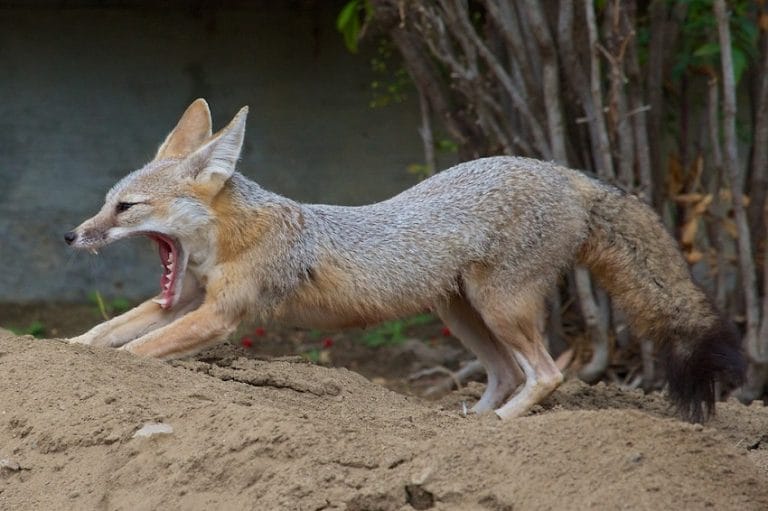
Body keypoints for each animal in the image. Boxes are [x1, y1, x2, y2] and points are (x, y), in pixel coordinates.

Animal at [65, 99, 745, 422]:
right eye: (104, 203)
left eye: (125, 208)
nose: (73, 235)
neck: (230, 238)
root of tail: (563, 172)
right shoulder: (181, 299)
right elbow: (103, 332)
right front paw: (65, 352)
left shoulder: (219, 316)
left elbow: (136, 350)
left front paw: (109, 369)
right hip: (463, 314)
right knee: (506, 374)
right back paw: (459, 425)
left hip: (499, 309)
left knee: (548, 375)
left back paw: (498, 428)